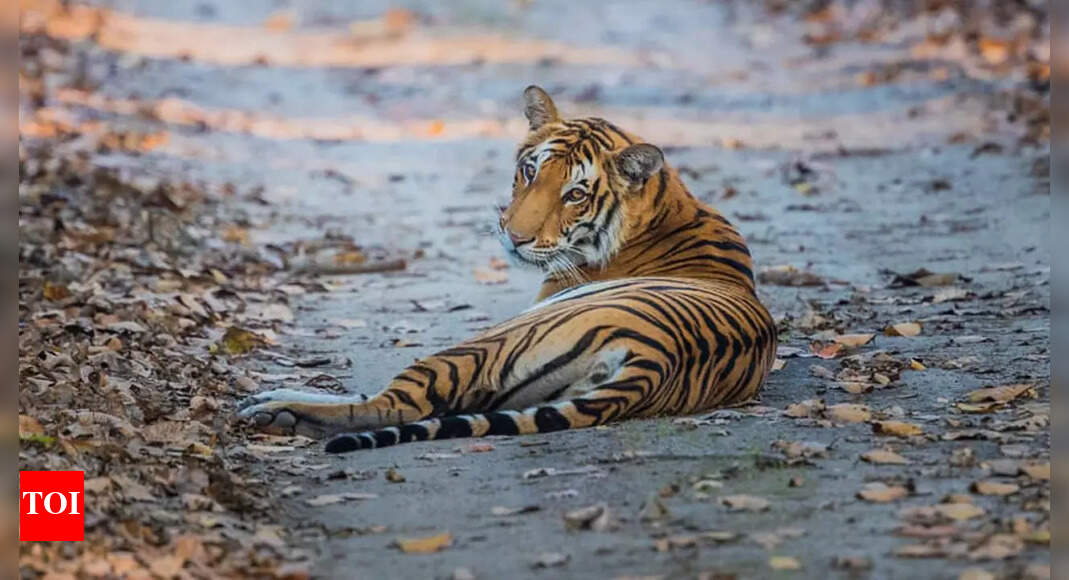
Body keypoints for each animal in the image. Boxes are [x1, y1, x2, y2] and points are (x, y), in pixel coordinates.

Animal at [237, 86, 778, 453]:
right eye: (529, 171)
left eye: (575, 194)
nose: (514, 237)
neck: (667, 208)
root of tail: (655, 358)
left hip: (485, 343)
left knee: (392, 403)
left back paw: (270, 409)